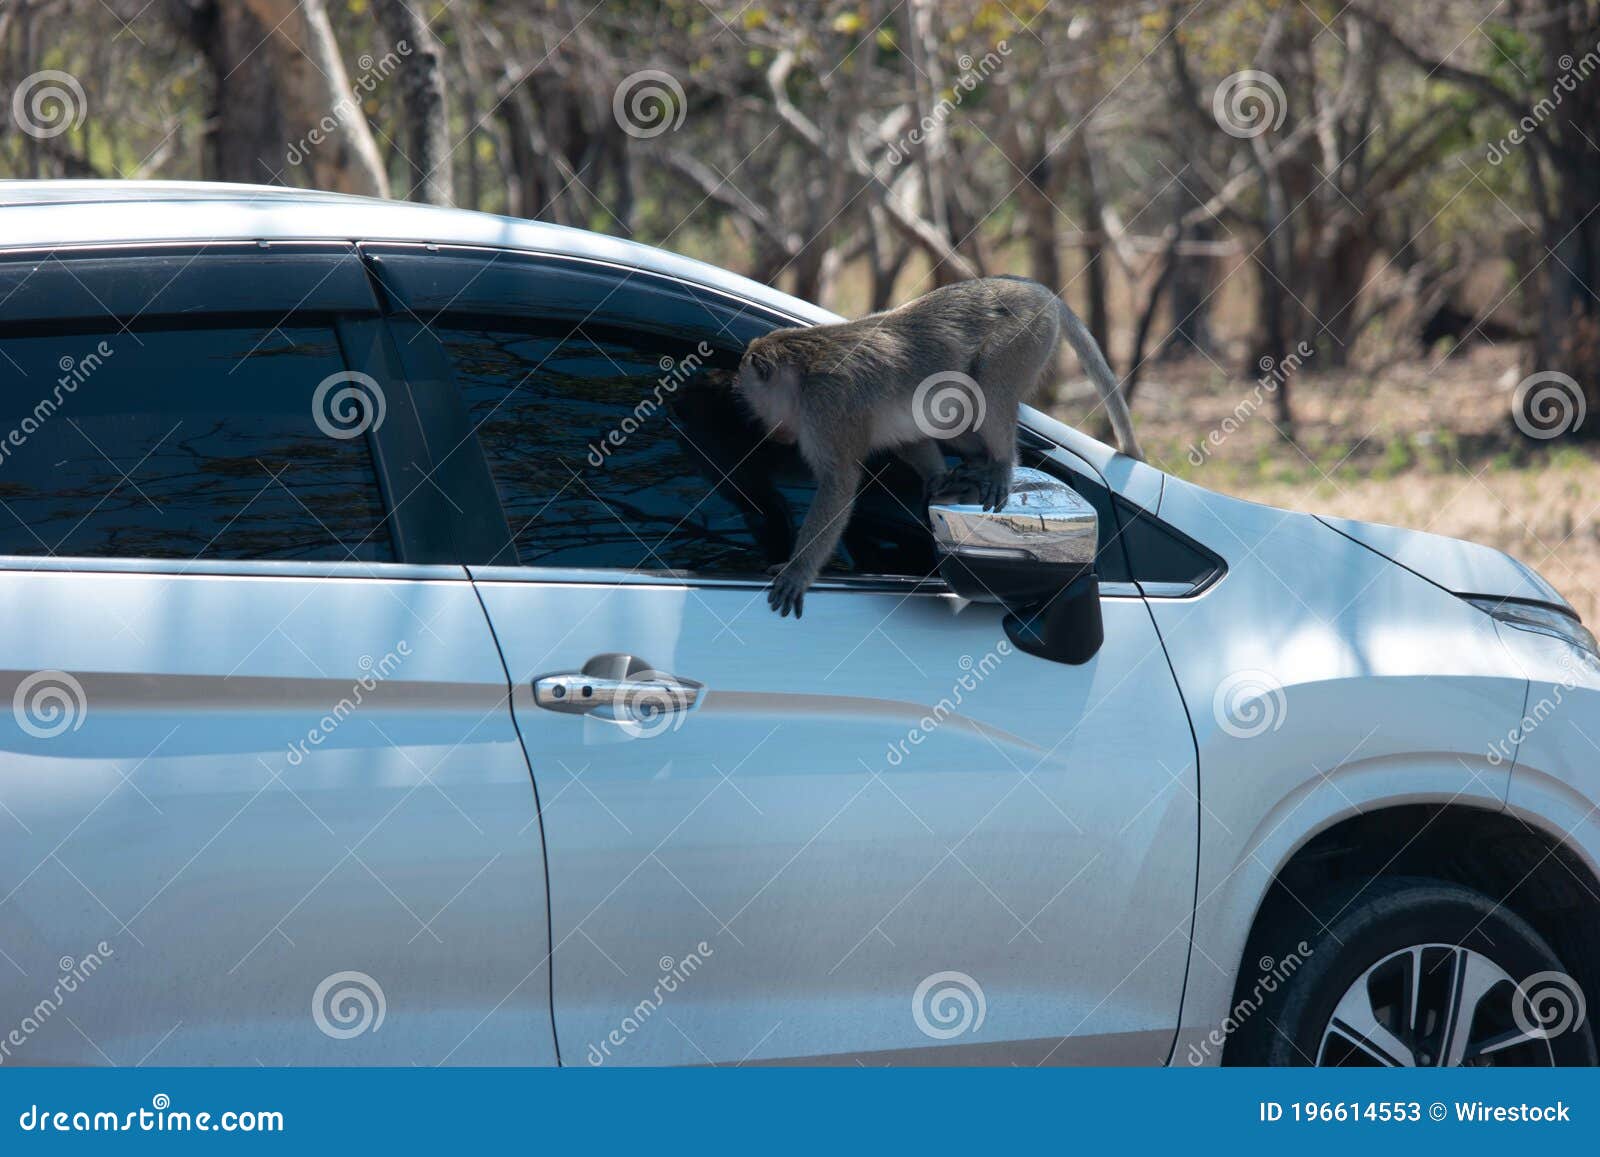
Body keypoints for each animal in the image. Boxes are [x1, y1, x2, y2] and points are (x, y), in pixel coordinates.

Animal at [734, 275, 1144, 618]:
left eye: (754, 397)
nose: (765, 427)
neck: (804, 369)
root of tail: (1036, 290)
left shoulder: (826, 411)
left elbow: (839, 483)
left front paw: (796, 572)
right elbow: (909, 437)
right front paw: (937, 478)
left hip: (1024, 337)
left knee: (989, 390)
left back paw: (1001, 464)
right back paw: (975, 463)